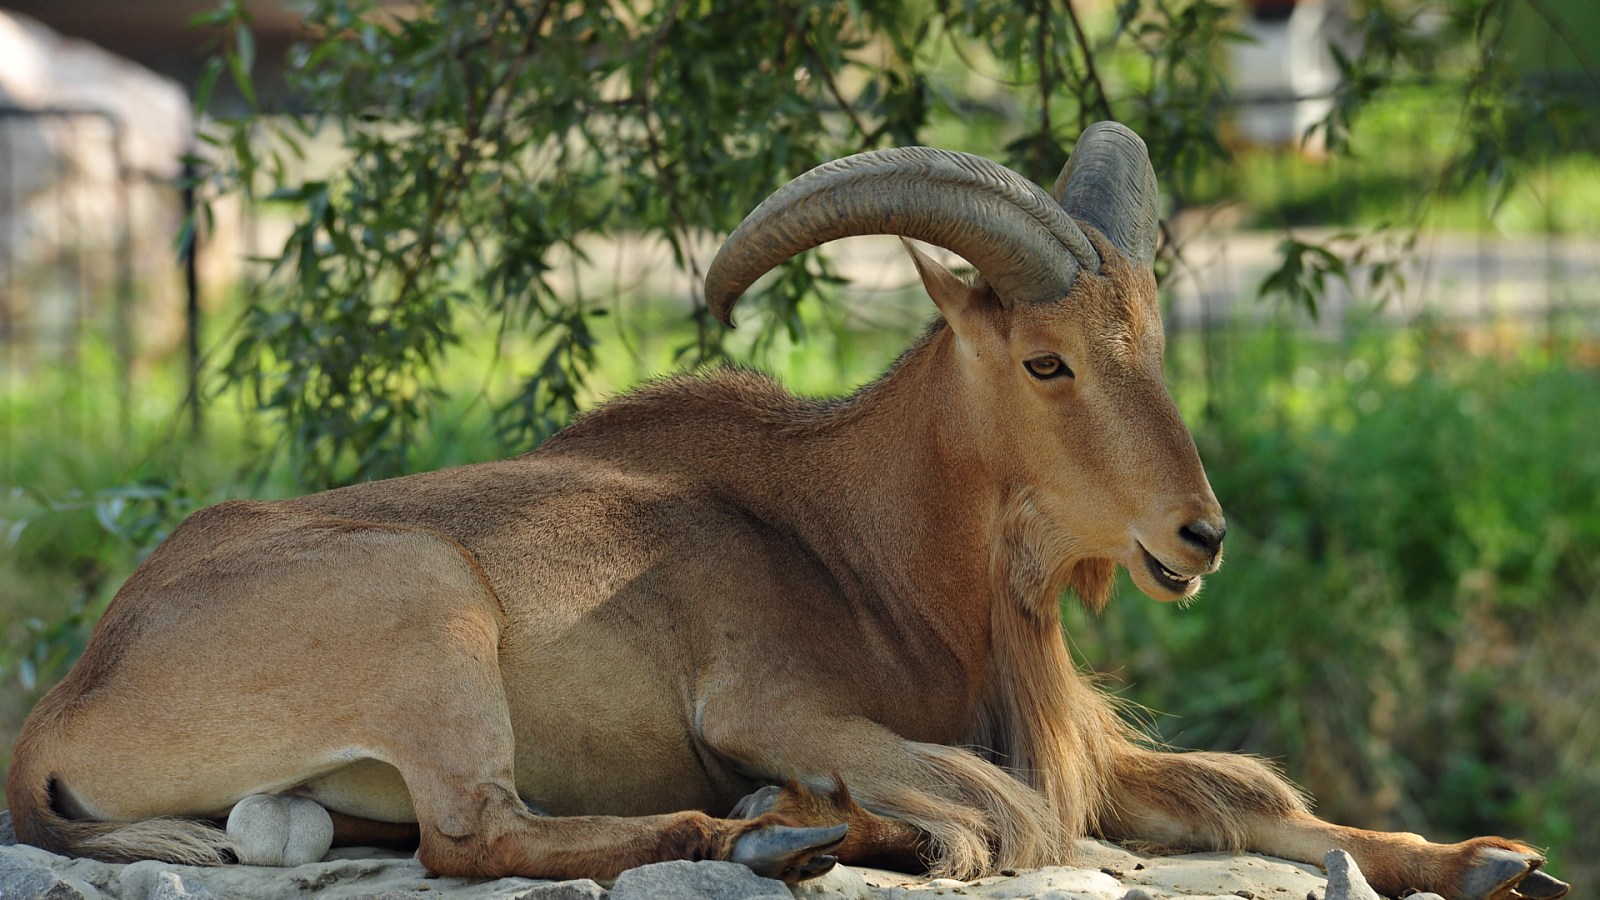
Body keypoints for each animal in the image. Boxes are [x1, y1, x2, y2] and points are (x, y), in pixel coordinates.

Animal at [5, 122, 1567, 899]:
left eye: (1155, 346)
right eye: (1047, 361)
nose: (1199, 537)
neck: (866, 541)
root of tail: (58, 709)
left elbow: (1255, 798)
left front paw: (1489, 858)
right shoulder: (777, 703)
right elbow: (1013, 818)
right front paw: (843, 821)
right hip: (421, 606)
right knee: (475, 835)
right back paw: (765, 835)